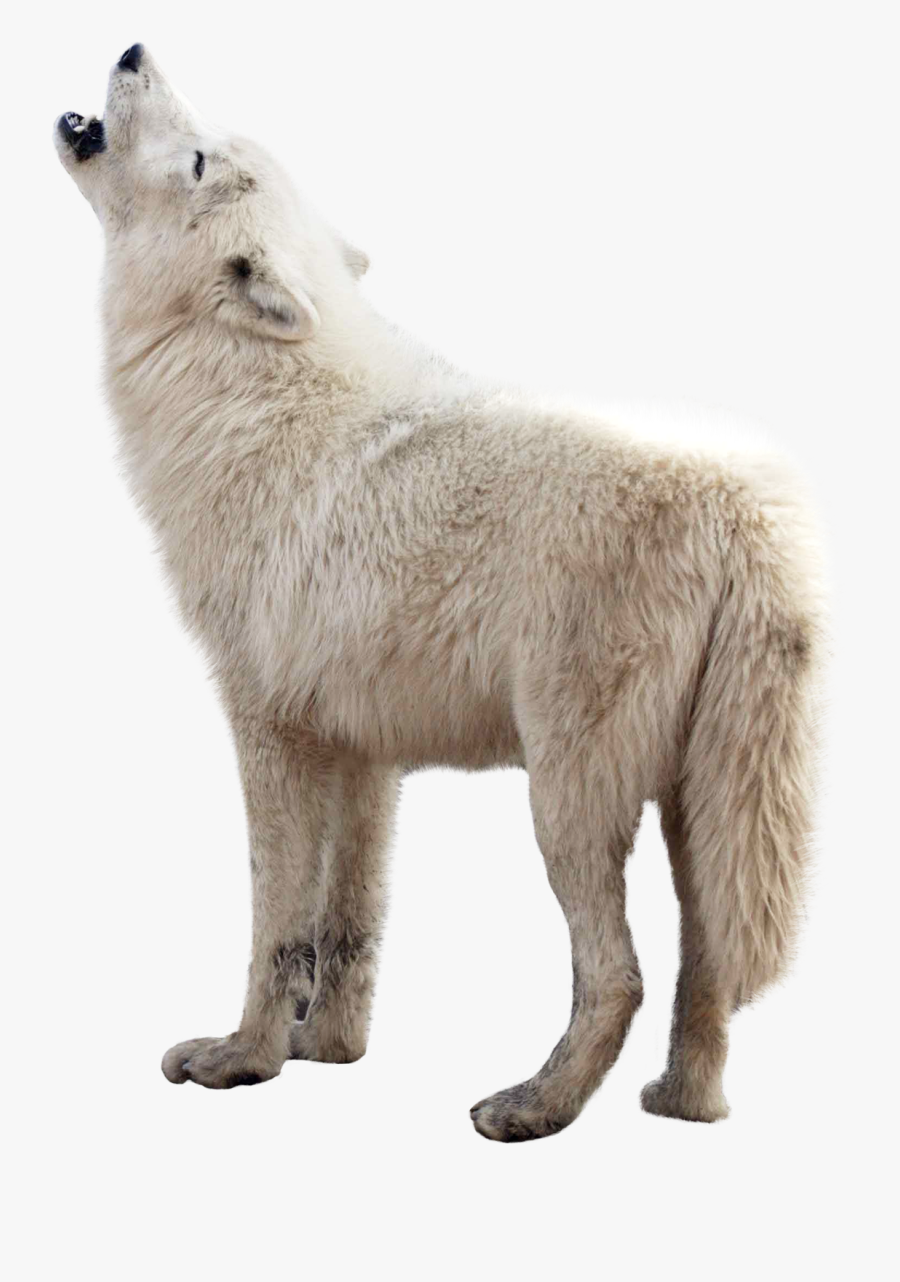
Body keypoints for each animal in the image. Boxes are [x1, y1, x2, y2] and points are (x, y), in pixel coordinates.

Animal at [55, 44, 825, 1141]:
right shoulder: (362, 752)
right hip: (700, 805)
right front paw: (328, 1051)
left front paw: (242, 1059)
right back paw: (681, 1105)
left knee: (619, 975)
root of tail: (746, 510)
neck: (251, 398)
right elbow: (350, 928)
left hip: (567, 799)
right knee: (706, 965)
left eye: (200, 157)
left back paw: (531, 1108)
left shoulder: (267, 725)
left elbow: (274, 921)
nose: (132, 50)